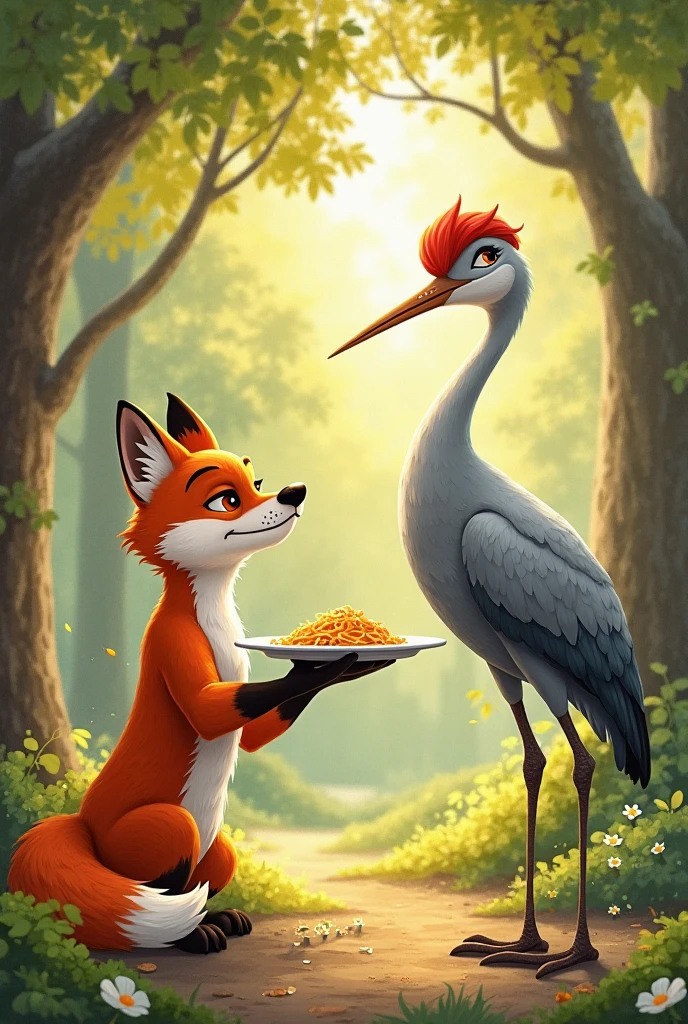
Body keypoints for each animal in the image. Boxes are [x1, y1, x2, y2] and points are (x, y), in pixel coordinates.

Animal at [9, 394, 389, 954]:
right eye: (225, 499)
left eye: (256, 481)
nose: (295, 491)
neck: (213, 616)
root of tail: (82, 825)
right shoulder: (175, 647)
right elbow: (217, 708)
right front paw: (326, 661)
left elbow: (251, 734)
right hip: (170, 828)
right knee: (167, 883)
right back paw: (193, 936)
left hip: (221, 848)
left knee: (205, 880)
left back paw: (222, 917)